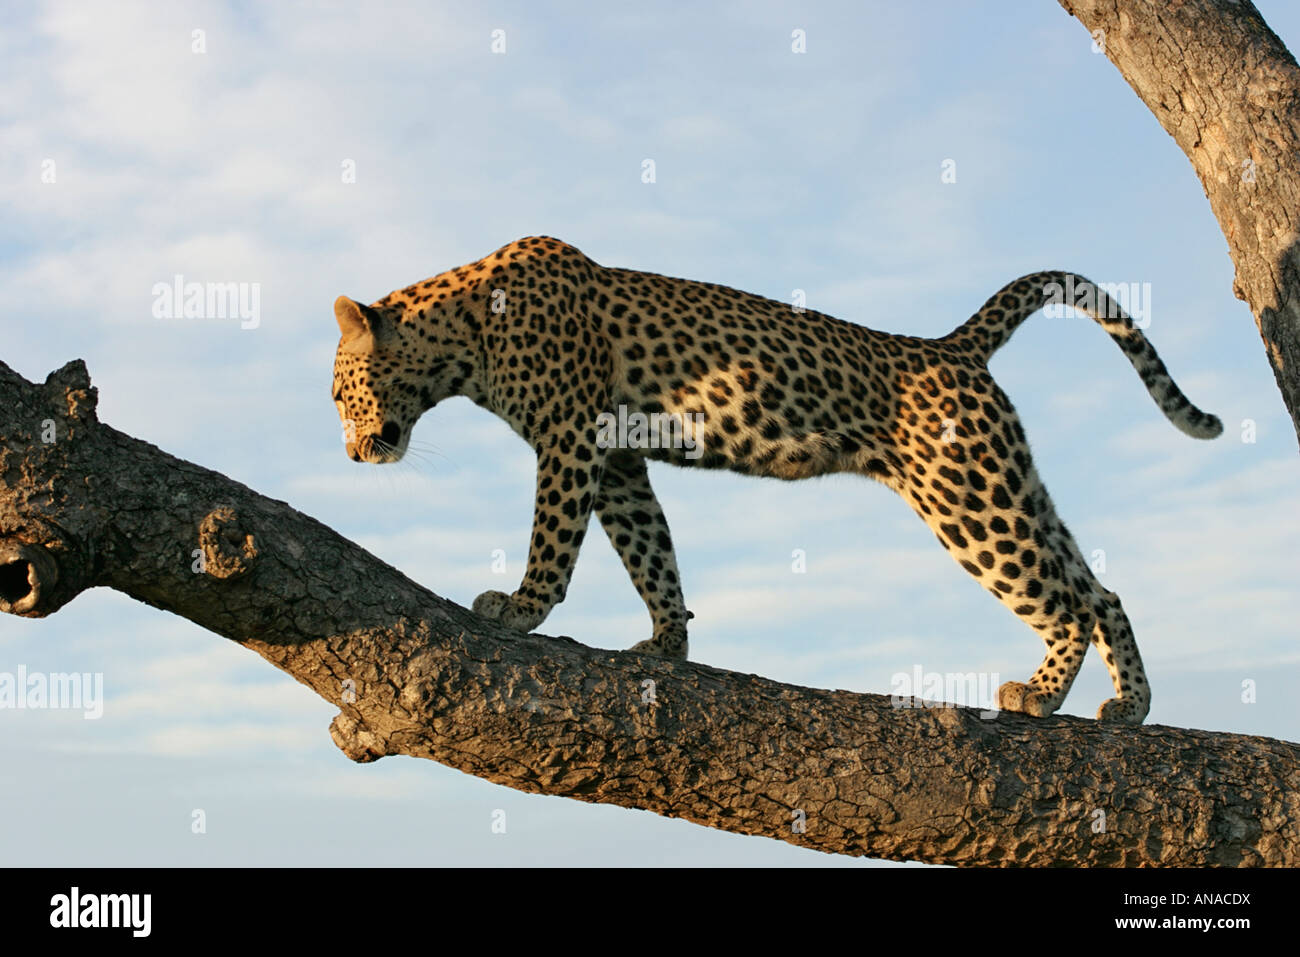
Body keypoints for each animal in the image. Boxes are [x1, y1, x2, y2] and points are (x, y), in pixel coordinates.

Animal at [331, 235, 1221, 724]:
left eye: (341, 395)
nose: (351, 455)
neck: (460, 343)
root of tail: (949, 346)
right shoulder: (616, 458)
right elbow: (651, 551)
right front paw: (669, 640)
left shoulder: (570, 438)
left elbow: (553, 539)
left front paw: (519, 607)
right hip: (1008, 483)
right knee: (1102, 589)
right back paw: (1132, 705)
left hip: (965, 497)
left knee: (1066, 599)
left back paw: (1040, 694)